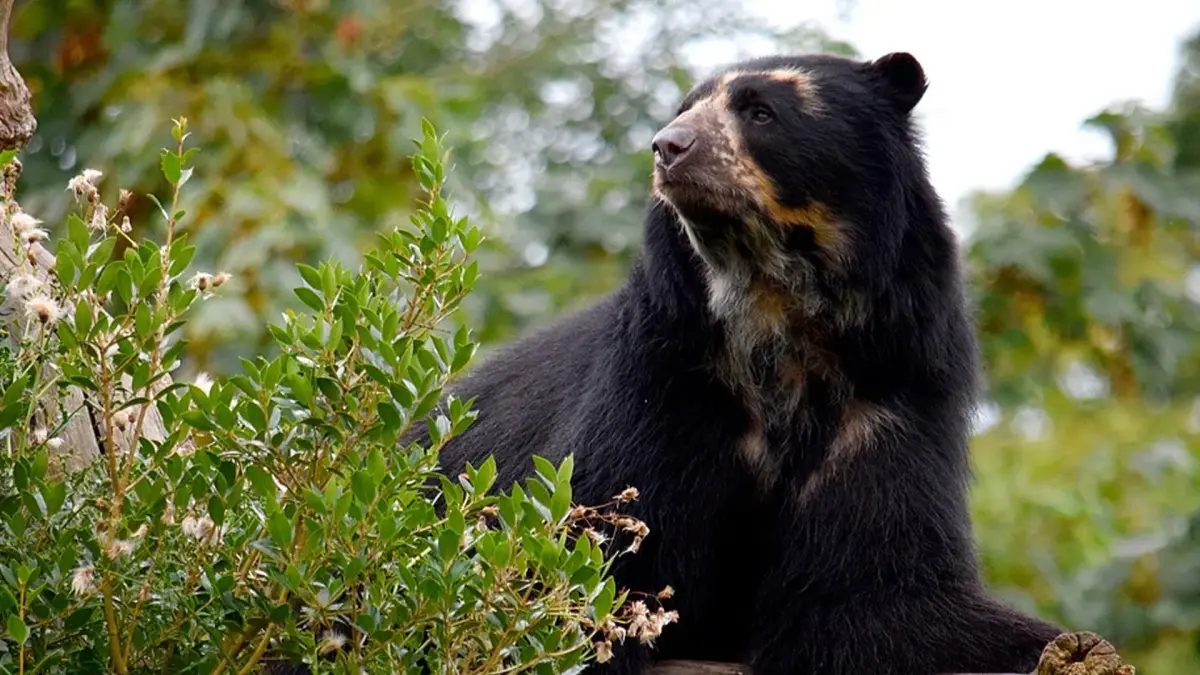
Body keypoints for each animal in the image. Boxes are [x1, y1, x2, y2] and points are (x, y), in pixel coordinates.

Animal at [406, 50, 1079, 675]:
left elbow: (871, 593)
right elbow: (589, 564)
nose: (668, 147)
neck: (773, 308)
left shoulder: (889, 399)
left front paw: (1058, 645)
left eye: (761, 112)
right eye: (685, 109)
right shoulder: (666, 380)